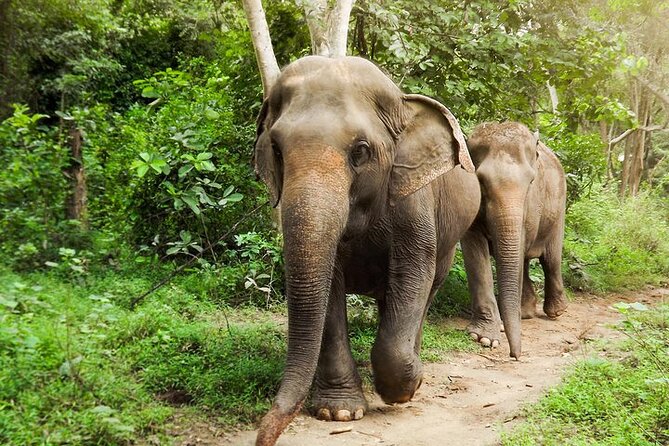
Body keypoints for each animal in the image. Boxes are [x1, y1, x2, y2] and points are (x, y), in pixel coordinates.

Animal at [253, 56, 481, 446]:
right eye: (277, 150)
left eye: (360, 150)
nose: (262, 438)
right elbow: (329, 287)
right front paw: (339, 412)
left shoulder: (413, 201)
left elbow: (413, 270)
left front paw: (405, 390)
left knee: (426, 289)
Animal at [461, 121, 568, 359]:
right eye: (480, 181)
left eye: (531, 181)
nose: (515, 355)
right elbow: (475, 252)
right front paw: (484, 338)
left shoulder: (532, 206)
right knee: (527, 261)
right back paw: (526, 312)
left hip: (558, 210)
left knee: (551, 261)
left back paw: (556, 311)